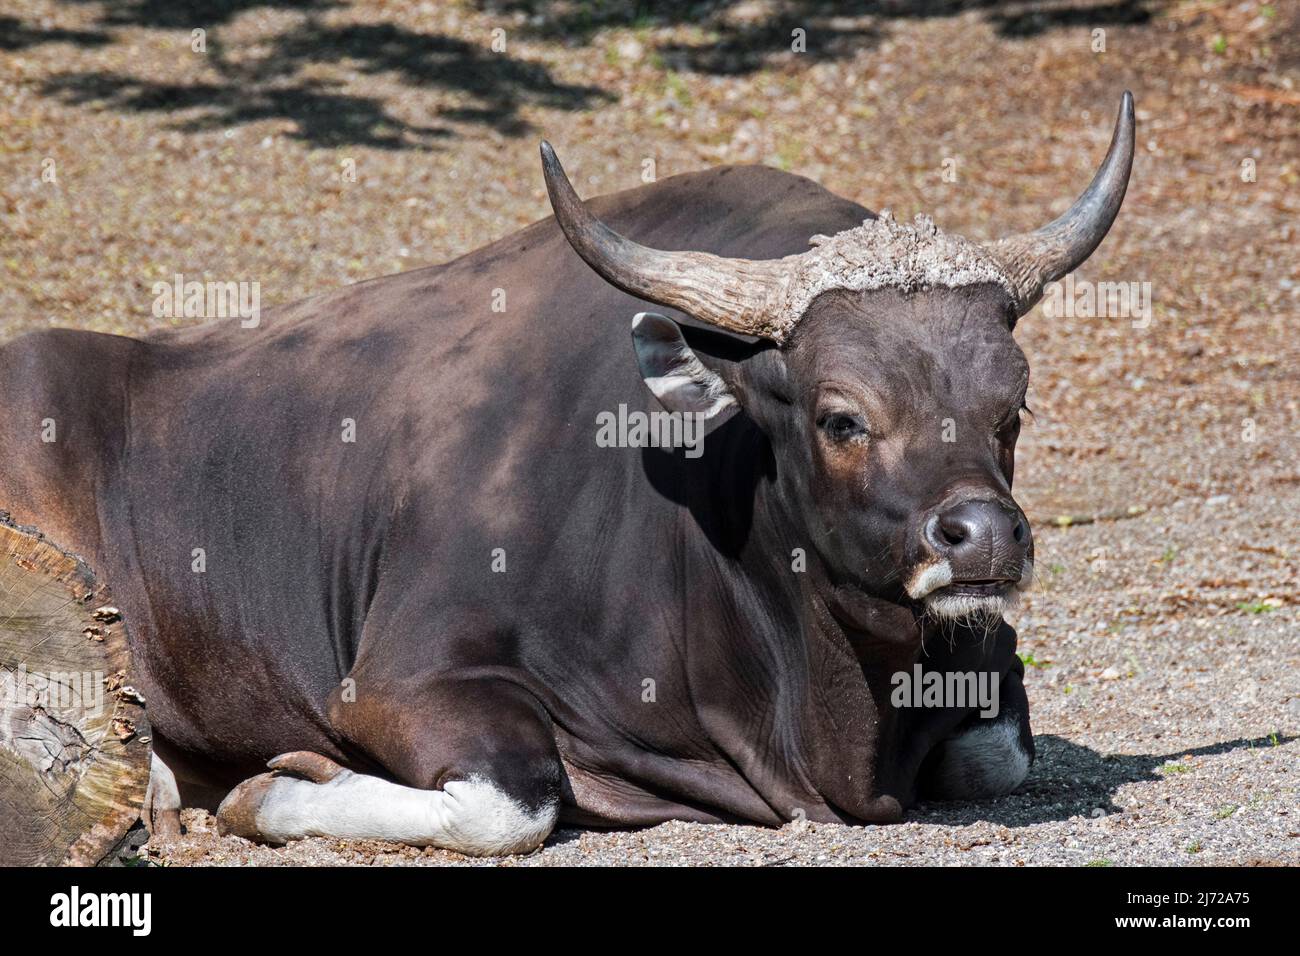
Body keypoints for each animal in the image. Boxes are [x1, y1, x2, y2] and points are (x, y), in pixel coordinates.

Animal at [0, 94, 1133, 856]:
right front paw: (261, 792)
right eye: (841, 415)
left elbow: (1001, 750)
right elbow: (515, 799)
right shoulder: (404, 678)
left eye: (1011, 408)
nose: (983, 538)